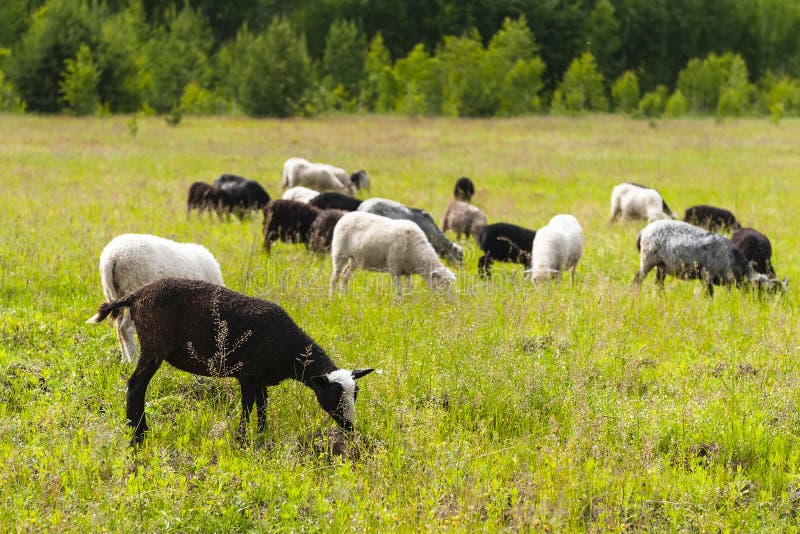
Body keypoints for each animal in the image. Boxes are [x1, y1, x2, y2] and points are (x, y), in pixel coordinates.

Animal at [87, 278, 374, 445]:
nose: (350, 427)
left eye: (356, 394)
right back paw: (138, 435)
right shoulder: (247, 375)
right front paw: (242, 440)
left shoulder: (261, 379)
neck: (288, 347)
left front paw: (262, 436)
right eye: (335, 395)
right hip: (154, 344)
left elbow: (262, 407)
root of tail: (136, 295)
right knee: (136, 385)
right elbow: (247, 408)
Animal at [90, 233, 224, 363]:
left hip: (114, 294)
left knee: (118, 329)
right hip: (132, 288)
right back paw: (133, 359)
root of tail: (111, 257)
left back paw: (125, 360)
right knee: (124, 329)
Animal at [633, 220, 787, 296]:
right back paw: (636, 295)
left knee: (658, 284)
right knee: (637, 280)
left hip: (661, 266)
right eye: (767, 291)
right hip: (648, 260)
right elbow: (709, 294)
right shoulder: (707, 275)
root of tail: (644, 231)